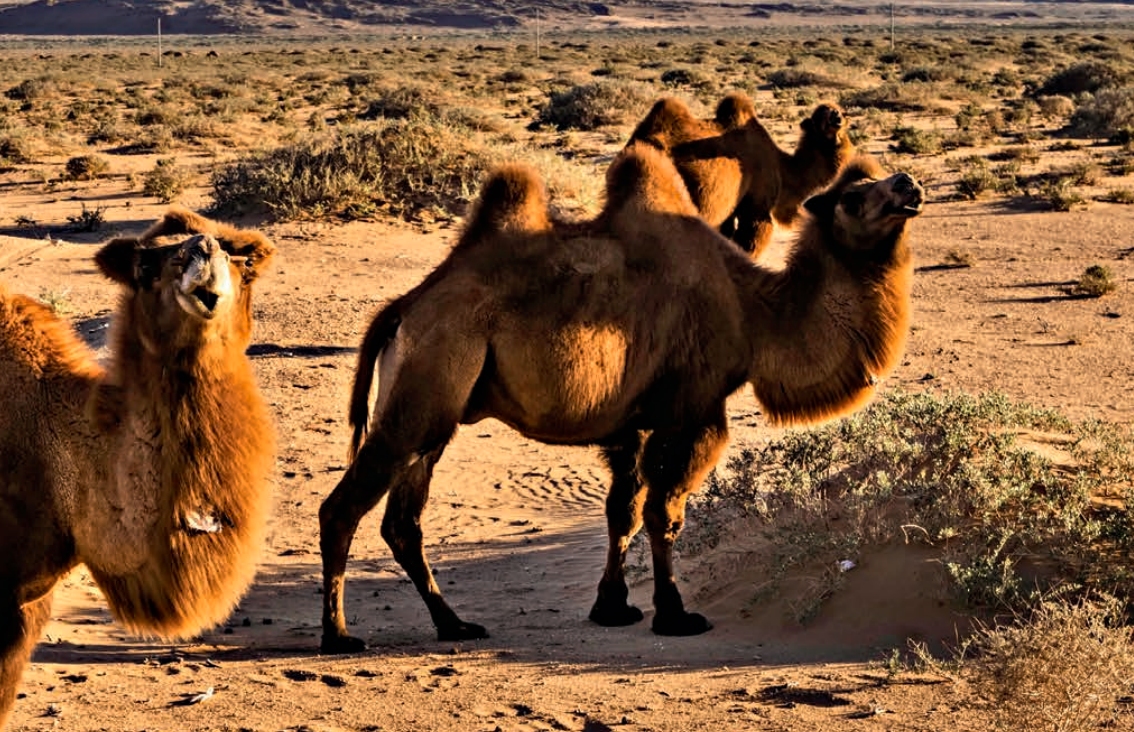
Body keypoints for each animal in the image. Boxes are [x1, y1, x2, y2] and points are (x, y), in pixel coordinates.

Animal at [318, 141, 923, 654]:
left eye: (878, 179)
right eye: (852, 197)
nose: (908, 184)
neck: (755, 315)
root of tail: (401, 310)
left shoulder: (632, 423)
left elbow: (622, 511)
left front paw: (612, 607)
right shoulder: (693, 410)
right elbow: (663, 513)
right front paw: (675, 614)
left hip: (432, 411)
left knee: (403, 521)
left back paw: (454, 624)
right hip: (425, 385)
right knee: (342, 507)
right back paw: (339, 635)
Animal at [627, 92, 856, 257]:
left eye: (840, 113)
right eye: (820, 118)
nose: (837, 119)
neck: (782, 167)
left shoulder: (728, 210)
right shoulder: (756, 208)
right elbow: (749, 244)